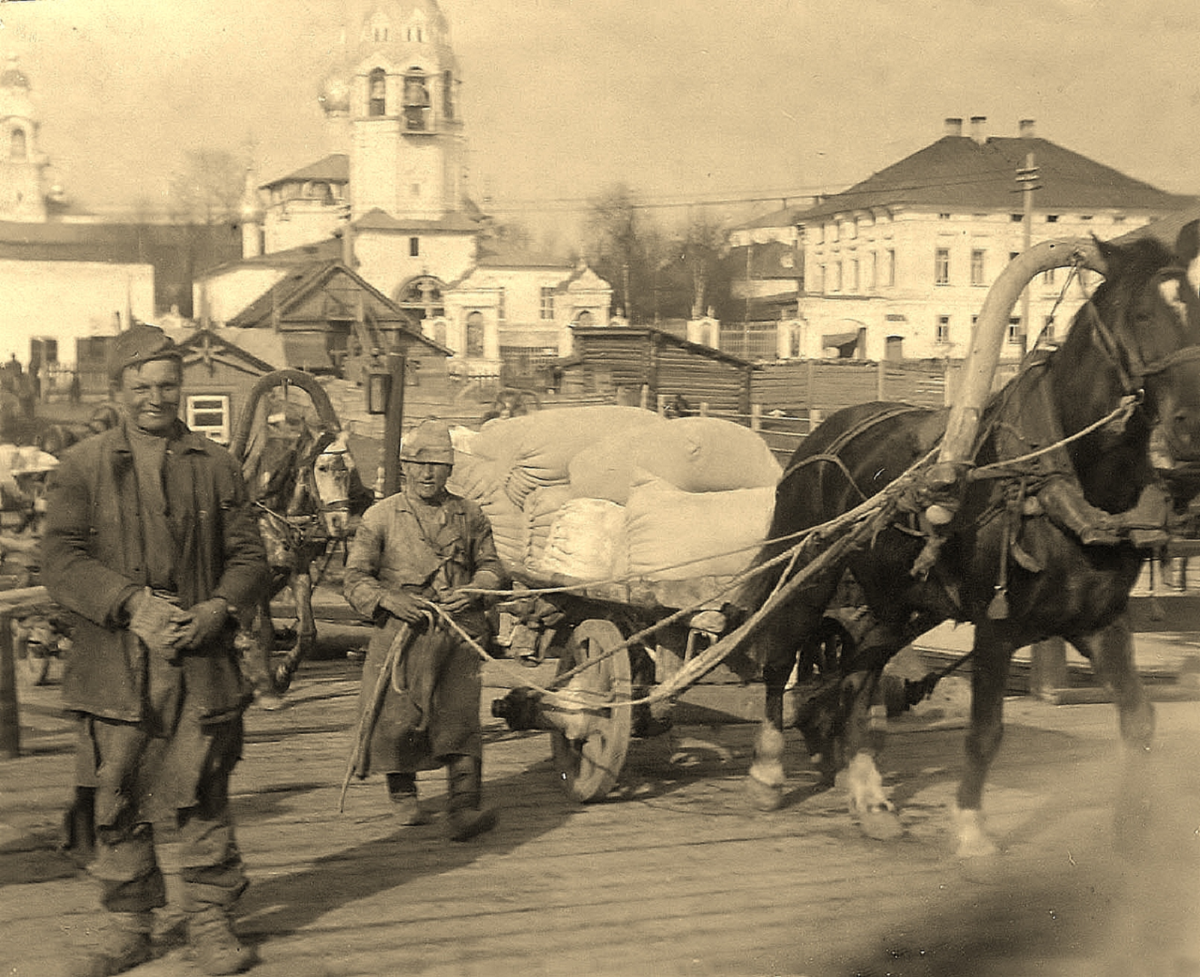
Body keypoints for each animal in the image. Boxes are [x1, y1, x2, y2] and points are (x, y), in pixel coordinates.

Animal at [734, 229, 1200, 854]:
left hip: (900, 601)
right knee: (781, 654)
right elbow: (986, 731)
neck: (1056, 479)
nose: (1192, 427)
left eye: (1197, 310)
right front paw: (972, 829)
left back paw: (870, 796)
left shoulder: (1097, 620)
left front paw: (1132, 830)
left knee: (857, 674)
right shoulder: (997, 625)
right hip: (811, 566)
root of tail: (825, 431)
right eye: (1144, 314)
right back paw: (767, 772)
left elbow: (1139, 718)